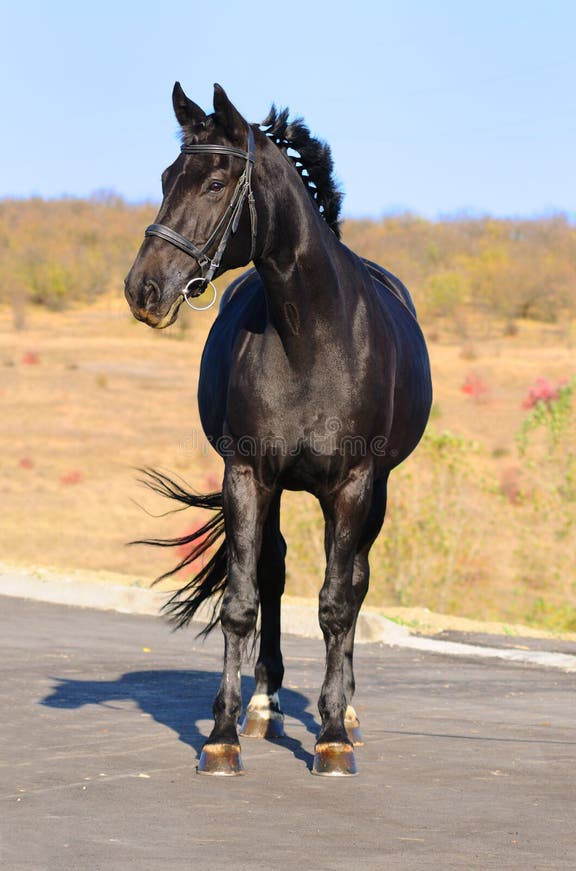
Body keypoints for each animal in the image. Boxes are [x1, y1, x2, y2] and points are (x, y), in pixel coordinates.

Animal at [124, 82, 432, 777]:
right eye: (166, 178)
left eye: (216, 182)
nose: (143, 290)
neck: (311, 335)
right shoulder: (247, 476)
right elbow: (242, 602)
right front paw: (222, 737)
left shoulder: (353, 485)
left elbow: (337, 602)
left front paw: (333, 738)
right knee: (273, 572)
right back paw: (265, 707)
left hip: (373, 494)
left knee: (354, 582)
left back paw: (345, 711)